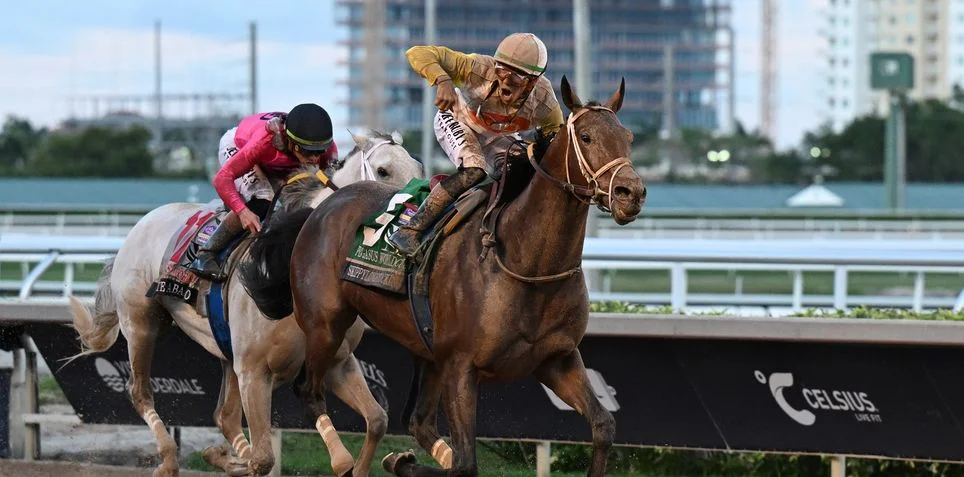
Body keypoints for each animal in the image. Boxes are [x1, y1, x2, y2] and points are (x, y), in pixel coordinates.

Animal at [67, 129, 424, 477]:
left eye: (419, 169)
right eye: (383, 170)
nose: (415, 225)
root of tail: (141, 224)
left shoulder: (338, 361)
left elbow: (377, 420)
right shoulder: (254, 371)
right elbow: (264, 459)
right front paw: (231, 458)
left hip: (225, 352)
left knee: (224, 416)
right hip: (141, 324)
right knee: (140, 391)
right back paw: (168, 460)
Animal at [240, 76, 646, 477]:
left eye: (628, 137)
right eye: (587, 137)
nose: (632, 193)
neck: (526, 262)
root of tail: (320, 209)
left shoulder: (556, 360)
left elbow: (603, 427)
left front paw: (401, 460)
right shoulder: (461, 367)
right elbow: (465, 465)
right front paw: (402, 461)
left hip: (425, 352)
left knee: (417, 422)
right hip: (325, 325)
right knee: (309, 391)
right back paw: (346, 460)